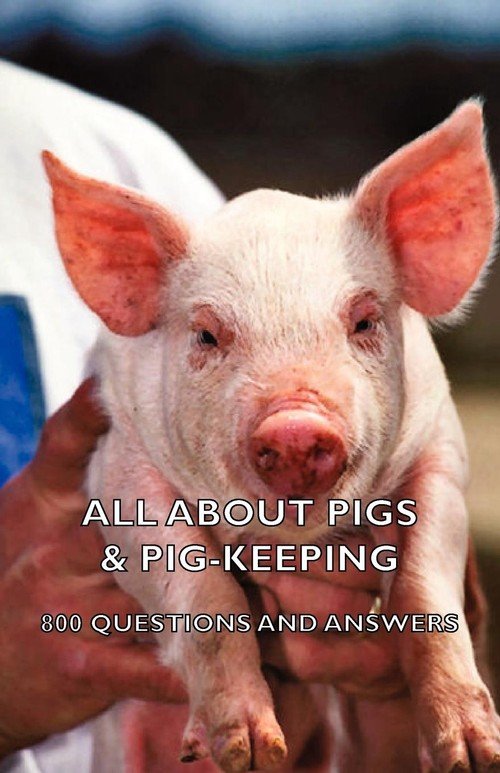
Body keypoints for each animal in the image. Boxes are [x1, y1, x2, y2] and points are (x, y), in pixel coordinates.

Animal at [43, 98, 500, 772]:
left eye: (364, 321)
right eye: (207, 335)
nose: (295, 424)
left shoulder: (440, 445)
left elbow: (425, 590)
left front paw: (472, 753)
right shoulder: (117, 461)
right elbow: (208, 597)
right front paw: (247, 750)